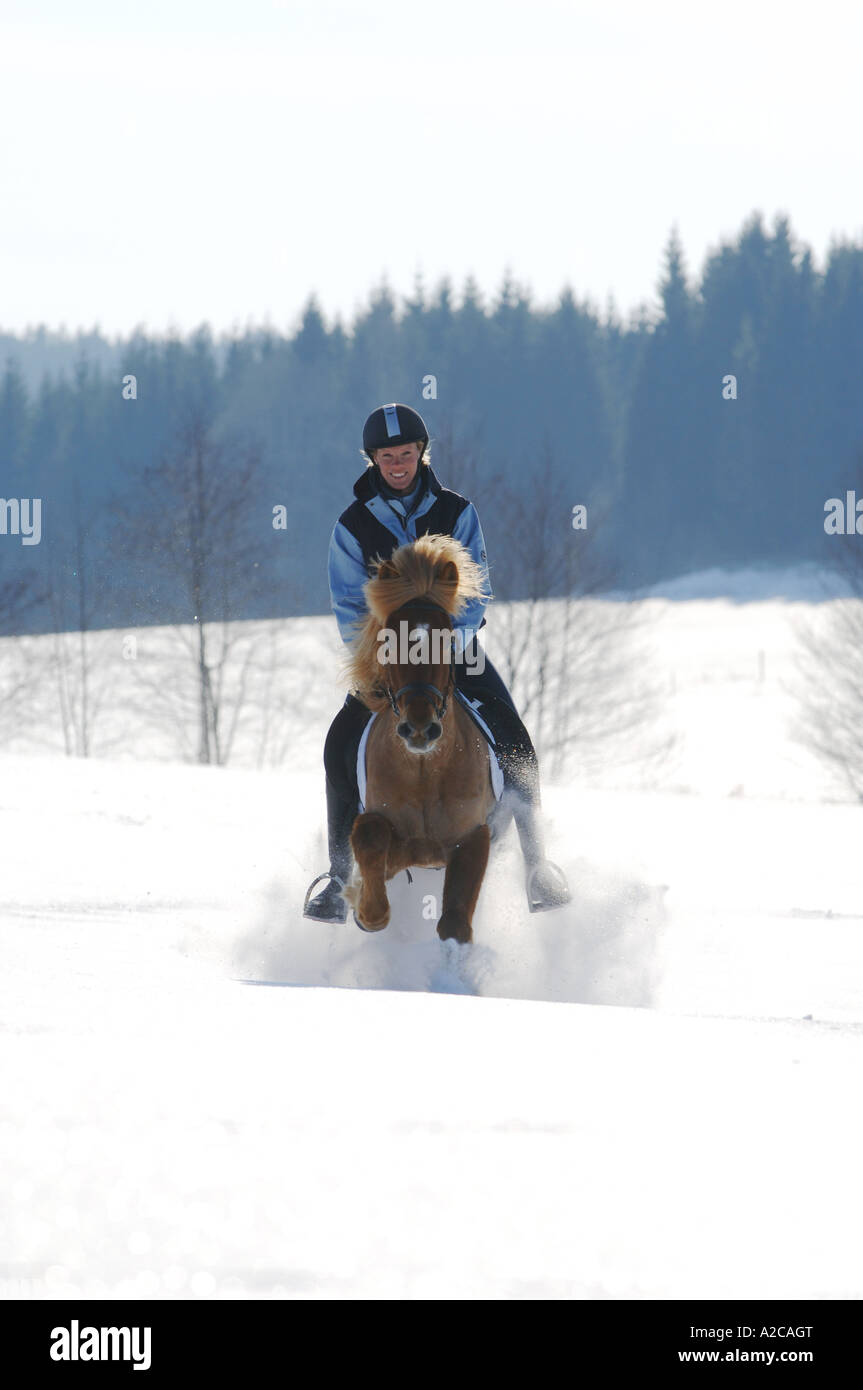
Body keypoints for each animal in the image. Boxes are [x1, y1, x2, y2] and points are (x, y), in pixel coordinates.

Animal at [342, 534, 497, 944]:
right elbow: (369, 837)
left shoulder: (474, 835)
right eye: (388, 643)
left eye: (446, 642)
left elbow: (455, 923)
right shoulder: (390, 834)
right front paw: (368, 909)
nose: (419, 729)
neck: (424, 770)